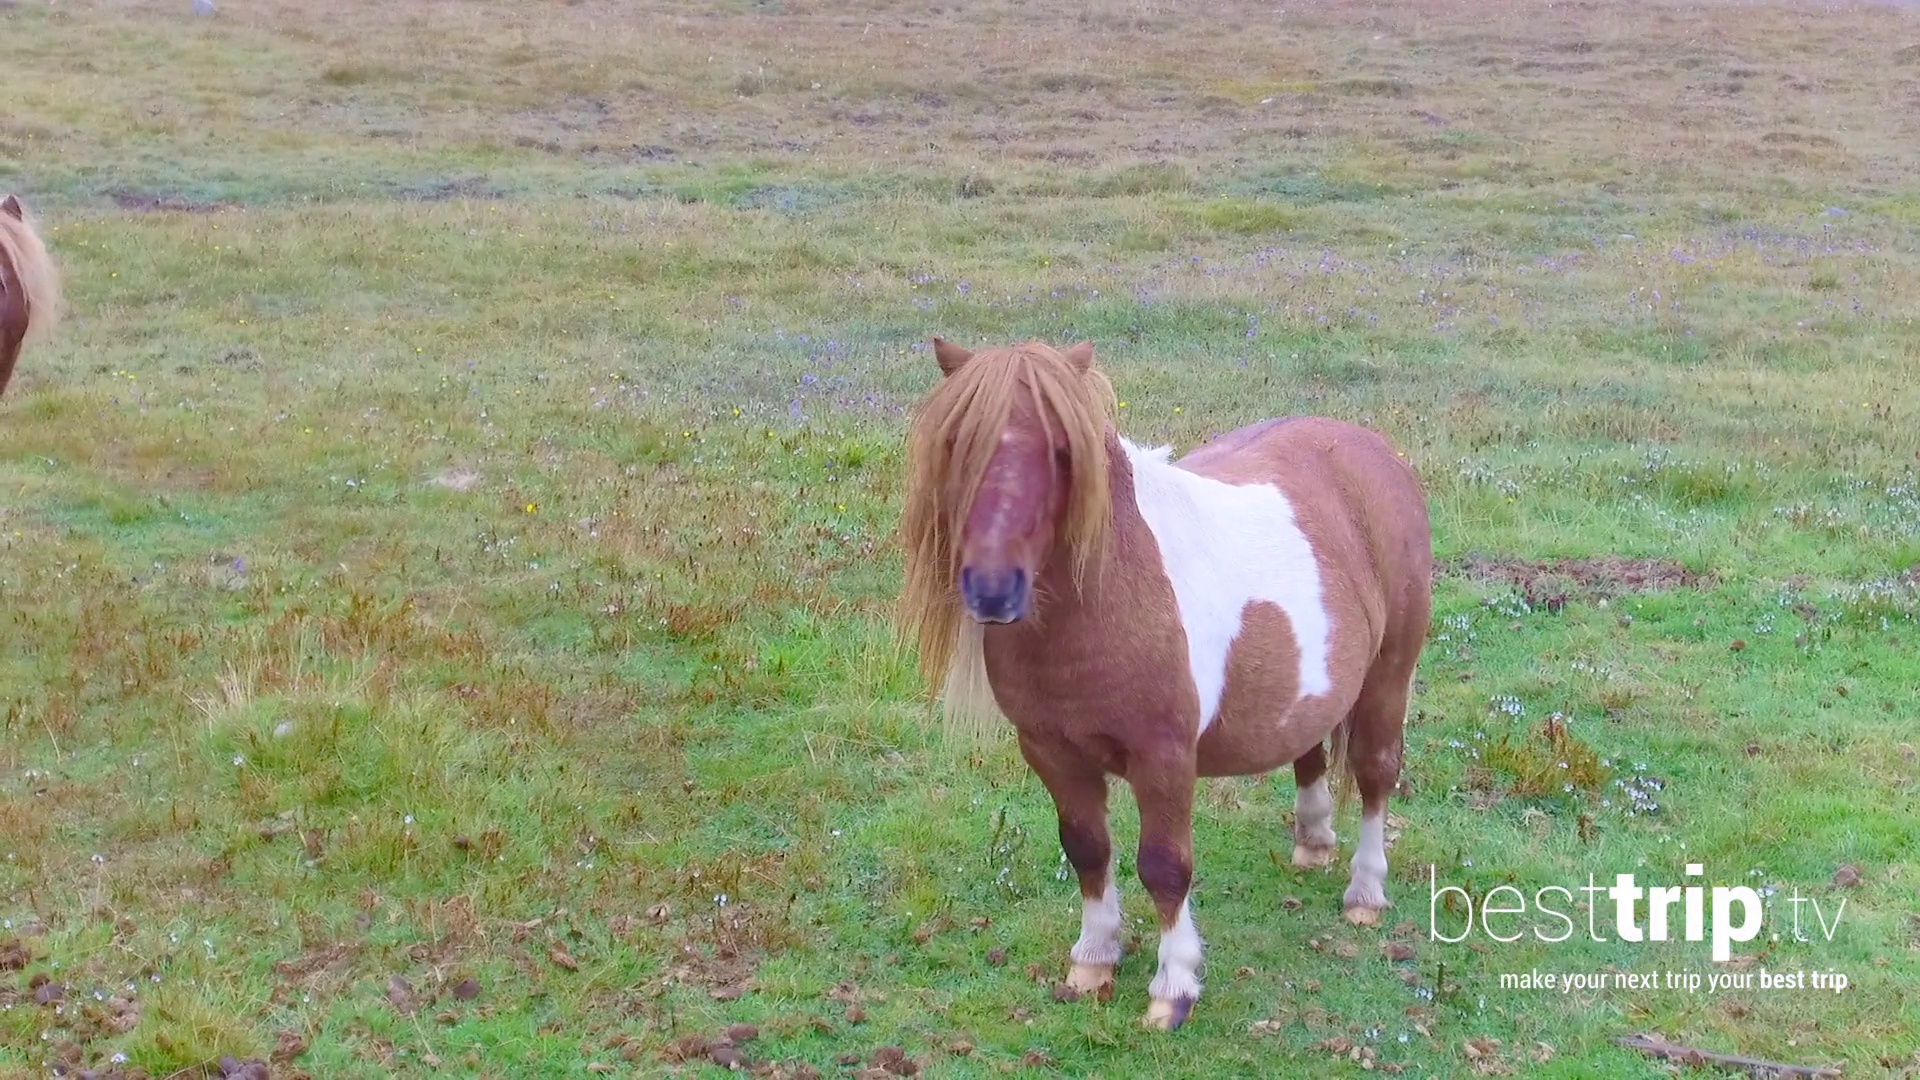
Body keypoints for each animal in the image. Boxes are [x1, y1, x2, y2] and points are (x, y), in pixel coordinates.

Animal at [899, 338, 1433, 1031]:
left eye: (1063, 449)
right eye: (956, 441)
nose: (992, 591)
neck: (1109, 598)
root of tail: (1376, 451)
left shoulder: (1166, 758)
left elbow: (1165, 867)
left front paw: (1173, 986)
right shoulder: (1050, 751)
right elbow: (1087, 849)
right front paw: (1094, 958)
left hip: (1389, 675)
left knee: (1374, 773)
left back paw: (1365, 890)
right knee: (1309, 749)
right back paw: (1313, 842)